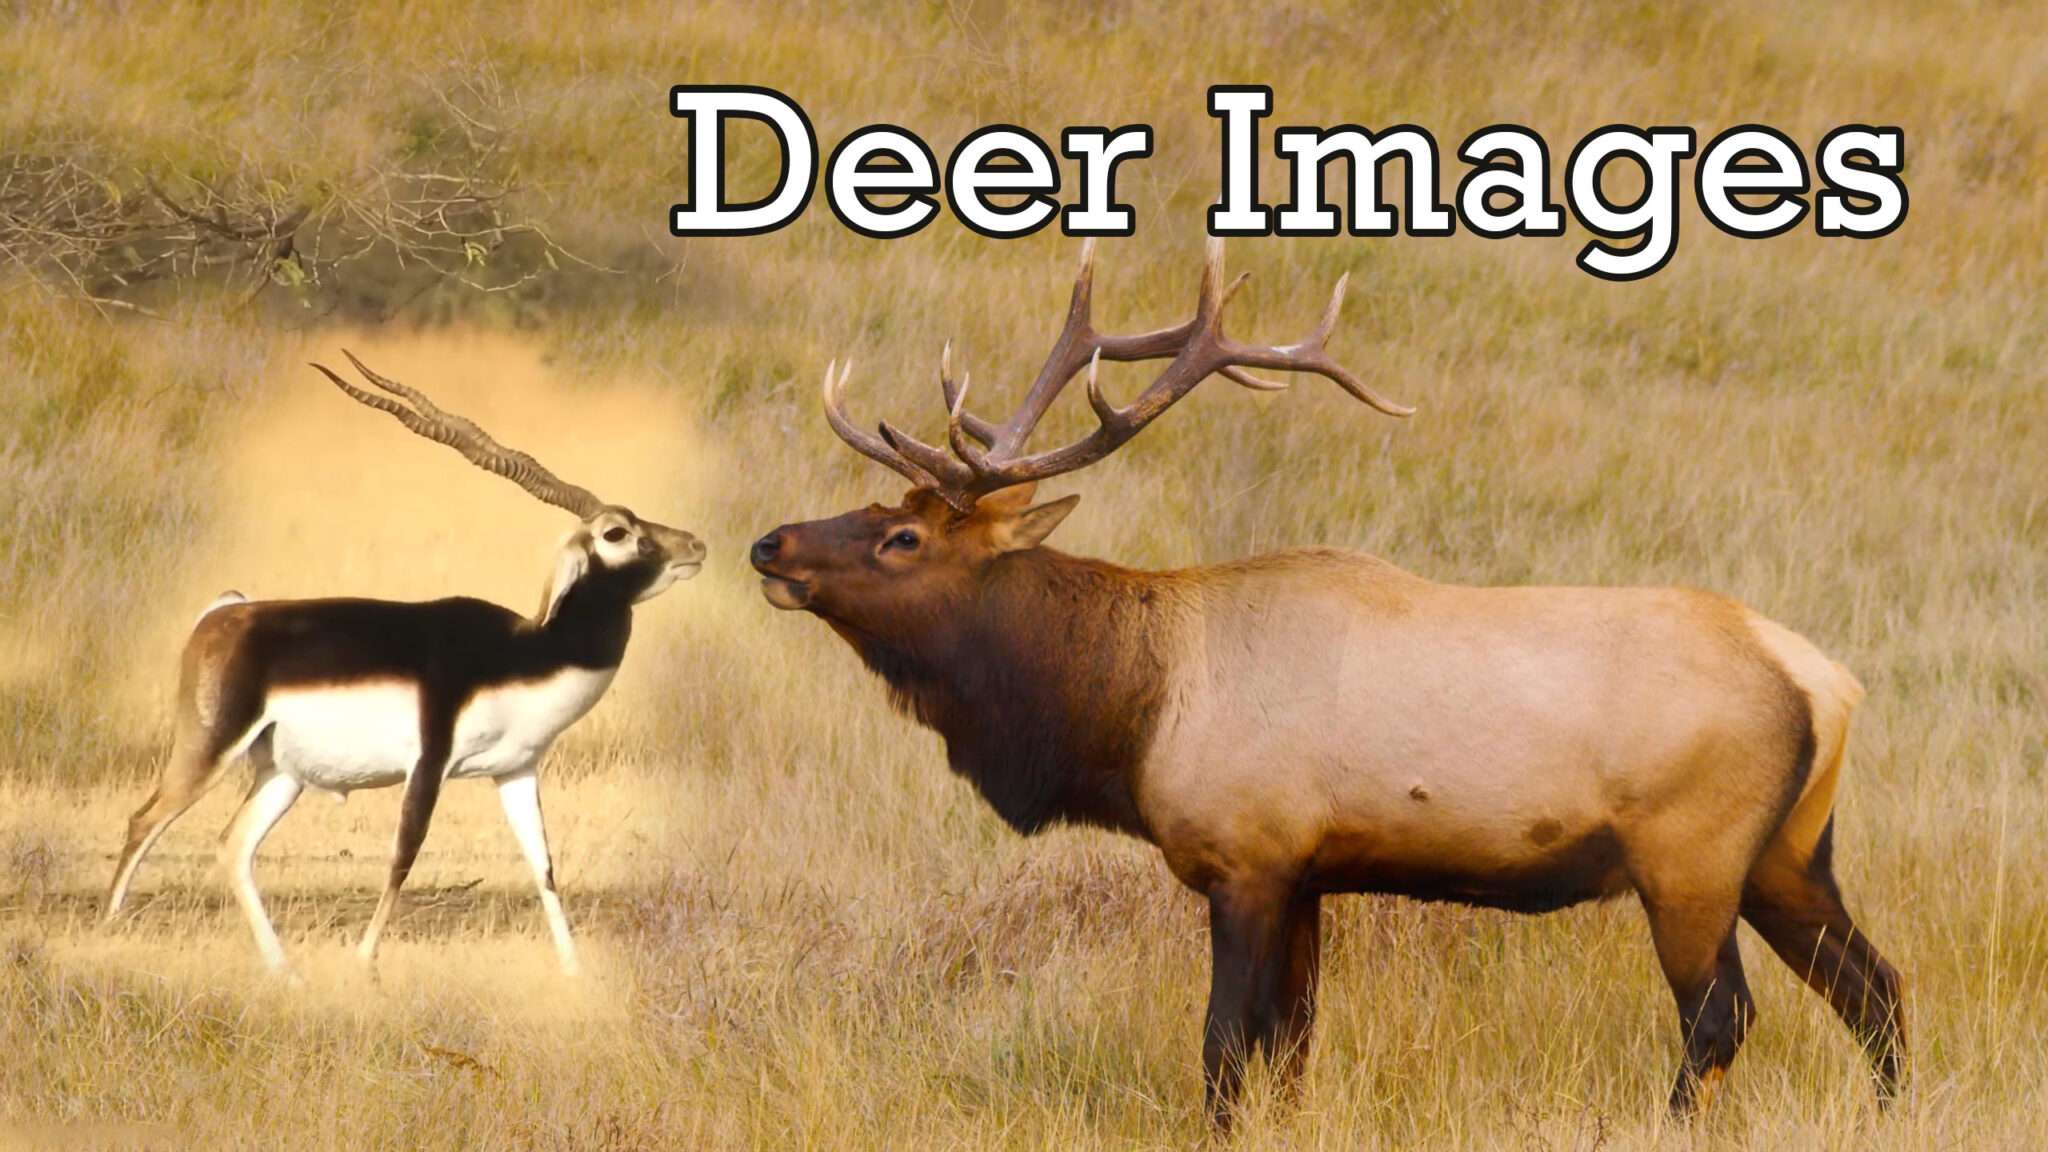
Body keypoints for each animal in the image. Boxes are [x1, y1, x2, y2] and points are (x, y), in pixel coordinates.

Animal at [103, 352, 705, 977]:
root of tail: (224, 614)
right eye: (617, 532)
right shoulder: (429, 763)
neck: (524, 654)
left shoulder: (516, 770)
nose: (694, 546)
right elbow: (403, 855)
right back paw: (107, 933)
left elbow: (544, 867)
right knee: (144, 821)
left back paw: (285, 971)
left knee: (233, 844)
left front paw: (575, 973)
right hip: (209, 748)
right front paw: (363, 962)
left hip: (281, 774)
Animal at [749, 239, 1906, 1126]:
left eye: (901, 537)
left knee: (1721, 1016)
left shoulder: (1248, 860)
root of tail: (1825, 682)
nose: (769, 543)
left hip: (1691, 854)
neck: (1129, 712)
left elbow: (1226, 1046)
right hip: (1790, 855)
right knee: (1877, 989)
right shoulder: (1310, 873)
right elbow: (1294, 1046)